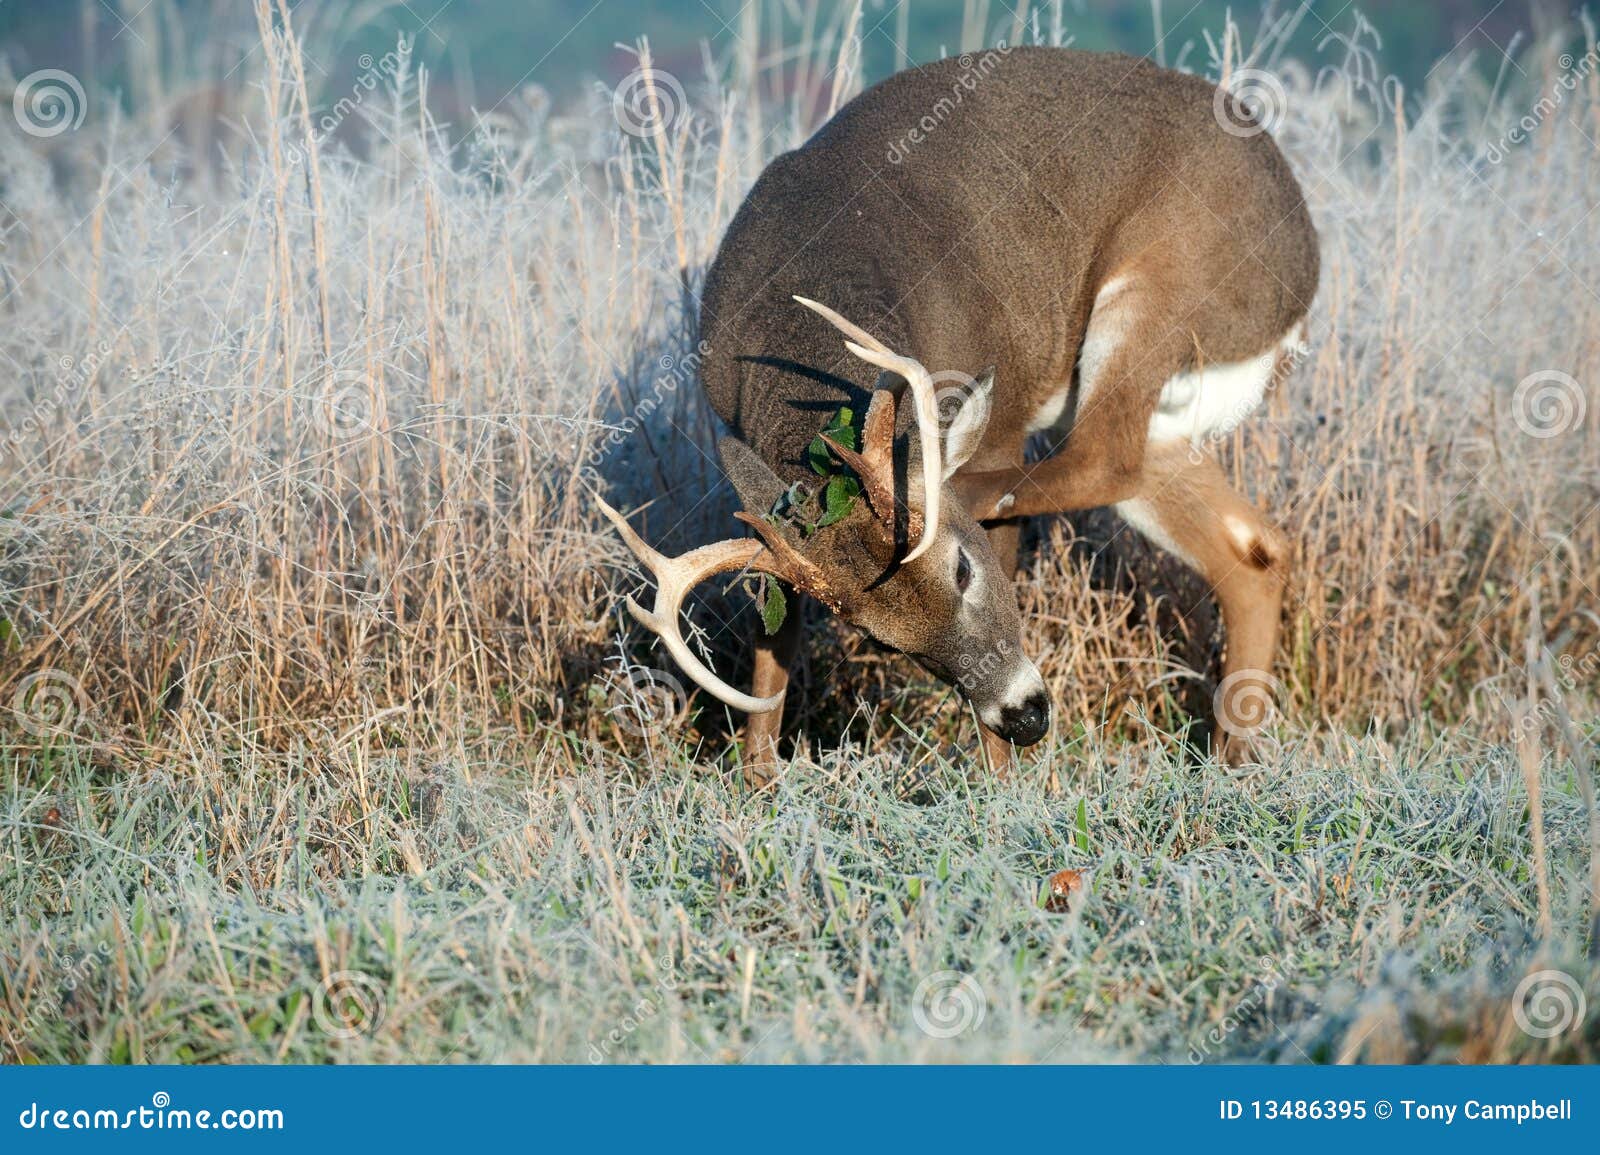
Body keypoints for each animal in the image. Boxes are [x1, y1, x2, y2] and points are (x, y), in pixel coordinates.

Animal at [597, 46, 1319, 779]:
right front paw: (758, 782)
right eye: (883, 639)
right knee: (1252, 550)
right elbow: (774, 649)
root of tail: (1304, 258)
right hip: (1169, 424)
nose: (1028, 716)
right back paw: (1234, 757)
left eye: (964, 571)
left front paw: (1007, 786)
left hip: (1159, 292)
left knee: (1104, 458)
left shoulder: (1001, 416)